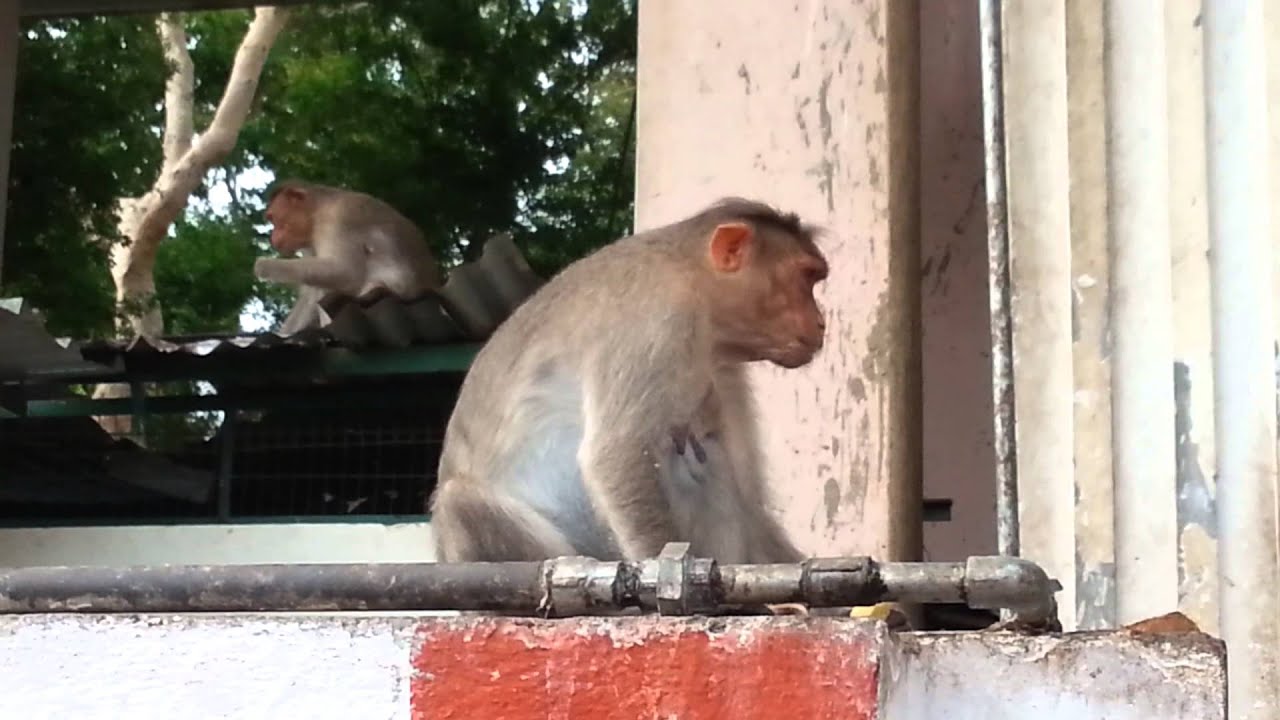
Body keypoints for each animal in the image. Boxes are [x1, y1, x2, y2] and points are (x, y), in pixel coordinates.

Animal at [254, 180, 443, 335]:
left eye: (273, 219)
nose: (272, 236)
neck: (317, 213)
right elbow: (312, 292)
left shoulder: (339, 218)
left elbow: (345, 271)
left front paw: (263, 266)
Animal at [428, 197, 829, 567]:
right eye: (806, 277)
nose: (822, 322)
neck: (693, 282)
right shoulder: (657, 322)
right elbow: (616, 453)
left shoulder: (722, 368)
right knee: (457, 503)